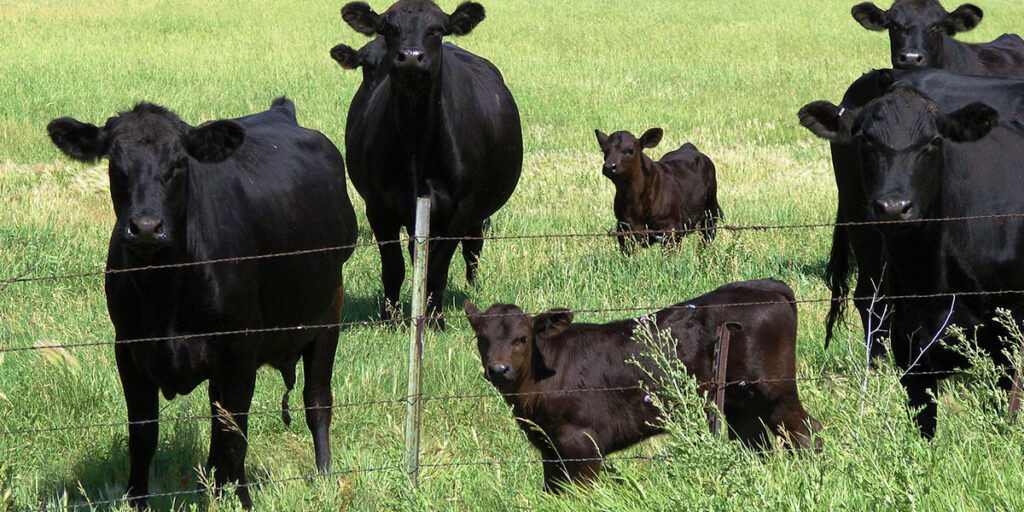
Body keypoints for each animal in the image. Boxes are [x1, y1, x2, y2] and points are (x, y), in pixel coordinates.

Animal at [46, 97, 358, 508]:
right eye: (116, 163)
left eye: (179, 163)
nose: (146, 227)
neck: (163, 291)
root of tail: (280, 112)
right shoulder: (128, 349)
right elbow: (144, 435)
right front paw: (136, 500)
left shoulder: (240, 349)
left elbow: (234, 433)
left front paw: (242, 501)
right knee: (216, 410)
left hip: (327, 314)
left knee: (317, 400)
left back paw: (322, 477)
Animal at [332, 0, 523, 326]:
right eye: (389, 28)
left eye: (437, 30)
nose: (410, 57)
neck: (416, 146)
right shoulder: (378, 207)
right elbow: (393, 266)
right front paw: (391, 317)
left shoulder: (460, 208)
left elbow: (437, 267)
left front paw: (434, 318)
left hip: (476, 213)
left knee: (473, 248)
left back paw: (473, 286)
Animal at [466, 279, 821, 492]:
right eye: (482, 339)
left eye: (522, 338)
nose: (498, 369)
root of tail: (764, 285)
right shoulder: (549, 449)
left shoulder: (581, 443)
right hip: (740, 405)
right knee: (757, 444)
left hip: (775, 391)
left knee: (805, 432)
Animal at [594, 128, 722, 253]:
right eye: (604, 150)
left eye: (631, 150)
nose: (610, 166)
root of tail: (688, 148)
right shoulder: (623, 229)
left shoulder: (672, 230)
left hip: (710, 214)